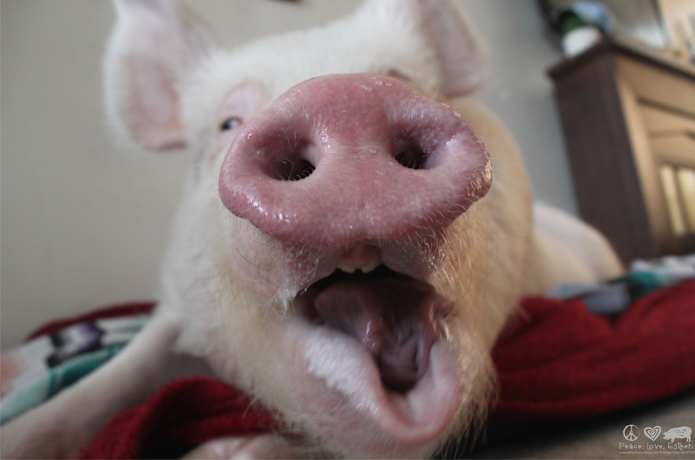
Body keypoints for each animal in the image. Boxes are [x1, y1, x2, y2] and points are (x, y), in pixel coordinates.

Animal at [2, 0, 623, 458]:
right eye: (228, 122)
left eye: (402, 79)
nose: (344, 96)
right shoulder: (177, 308)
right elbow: (108, 382)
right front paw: (19, 436)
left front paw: (229, 449)